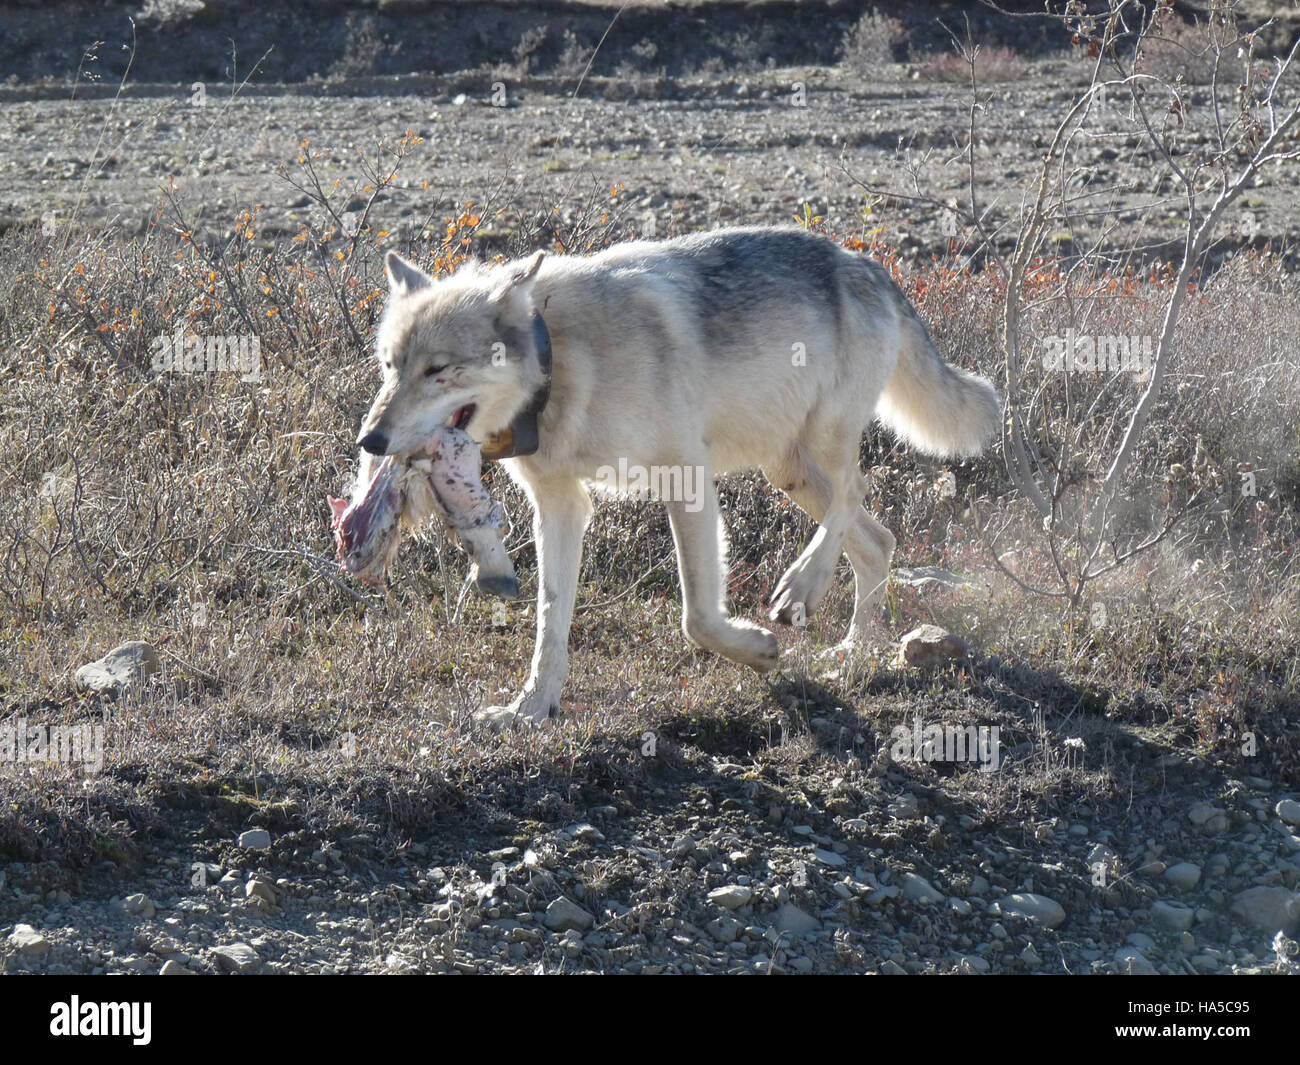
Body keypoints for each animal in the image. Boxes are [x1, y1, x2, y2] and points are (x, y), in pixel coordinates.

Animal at [356, 226, 1000, 726]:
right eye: (390, 366)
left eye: (438, 370)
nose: (370, 441)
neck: (558, 360)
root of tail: (868, 264)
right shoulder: (562, 505)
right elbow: (549, 626)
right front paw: (530, 710)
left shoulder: (685, 477)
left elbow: (698, 619)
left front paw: (757, 651)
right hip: (788, 470)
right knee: (878, 541)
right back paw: (850, 655)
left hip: (821, 444)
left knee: (855, 495)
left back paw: (804, 586)